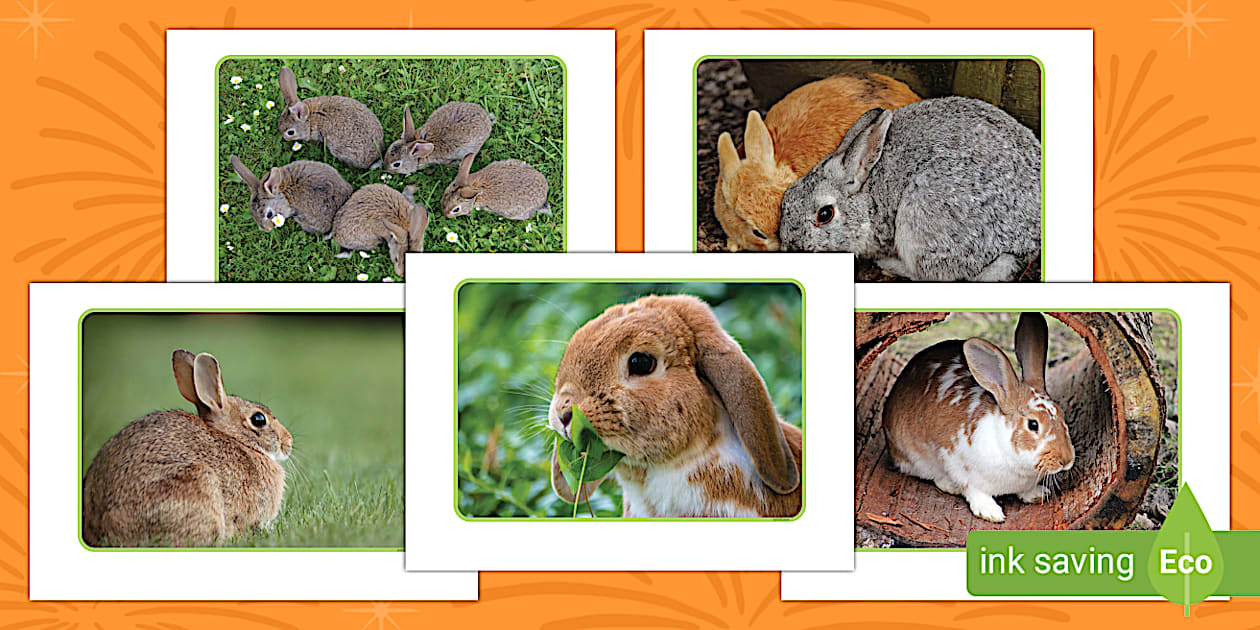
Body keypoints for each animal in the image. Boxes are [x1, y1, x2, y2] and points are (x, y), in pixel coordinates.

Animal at [779, 96, 1042, 281]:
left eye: (825, 214)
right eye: (786, 199)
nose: (791, 247)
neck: (868, 197)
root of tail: (1027, 243)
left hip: (922, 216)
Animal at [881, 312, 1074, 523]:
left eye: (1061, 414)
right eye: (1033, 424)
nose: (1066, 460)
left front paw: (1037, 494)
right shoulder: (960, 467)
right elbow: (973, 491)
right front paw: (991, 512)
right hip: (915, 457)